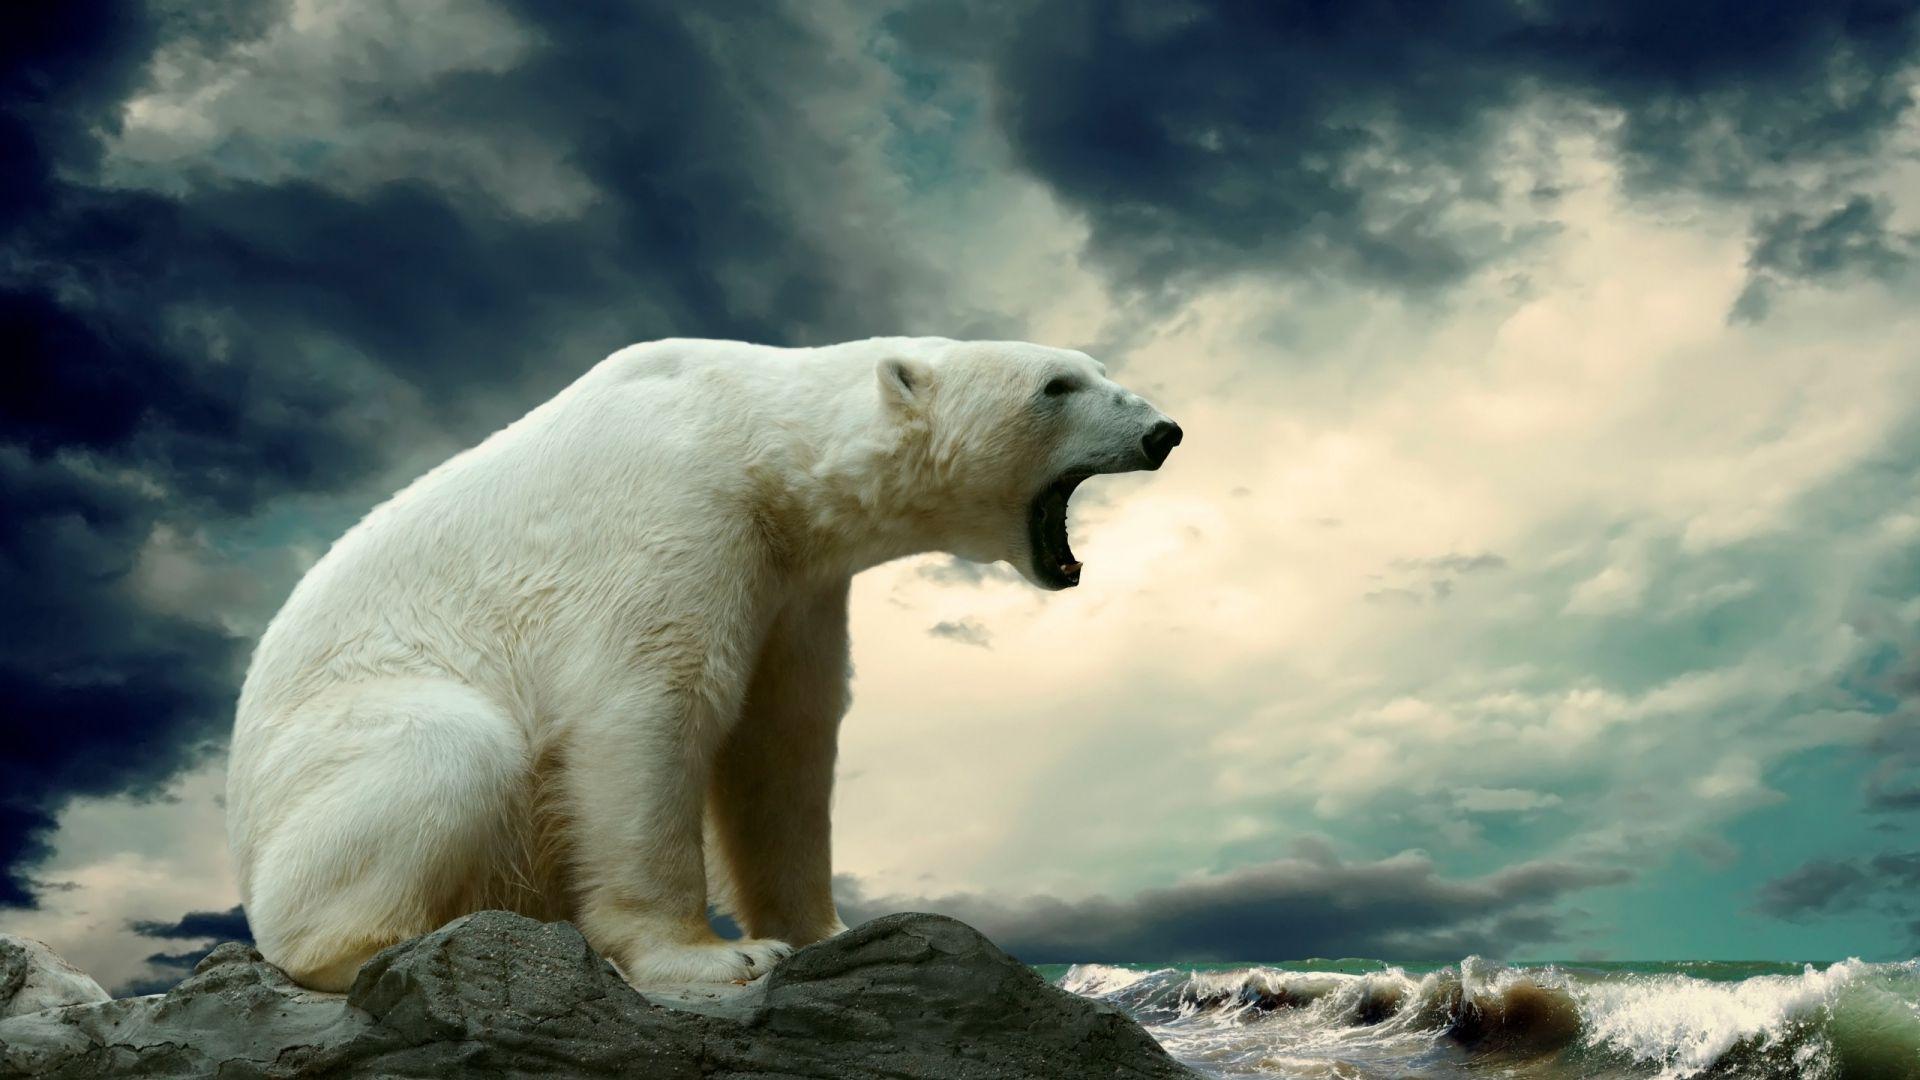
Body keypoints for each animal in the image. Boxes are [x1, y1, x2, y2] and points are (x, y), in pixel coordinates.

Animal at [225, 336, 1181, 991]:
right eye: (1057, 385)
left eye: (1094, 368)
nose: (1164, 430)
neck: (756, 439)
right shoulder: (676, 512)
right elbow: (649, 707)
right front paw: (716, 957)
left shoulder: (793, 580)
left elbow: (784, 741)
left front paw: (830, 930)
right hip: (341, 738)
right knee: (449, 749)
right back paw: (386, 947)